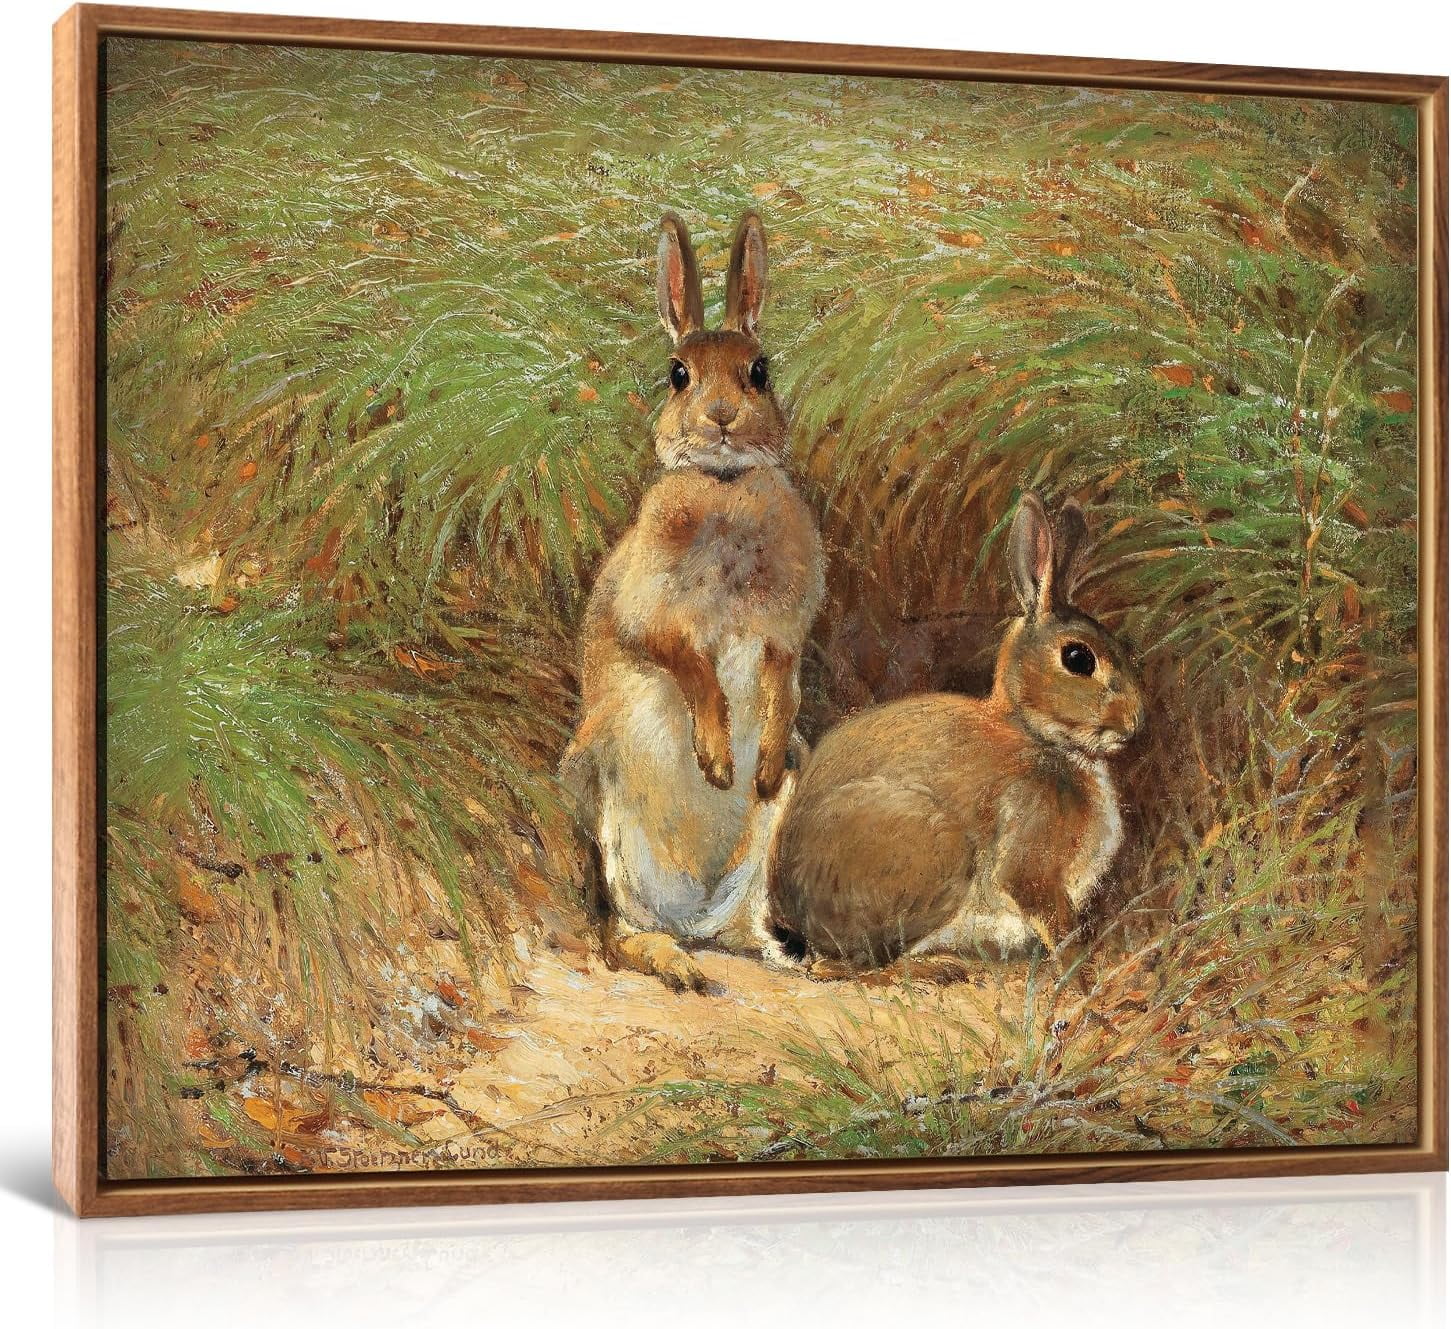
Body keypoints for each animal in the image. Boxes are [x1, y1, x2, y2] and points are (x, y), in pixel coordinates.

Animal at [561, 210, 824, 993]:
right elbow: (690, 666)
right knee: (619, 931)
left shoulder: (783, 637)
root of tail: (697, 912)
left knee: (746, 926)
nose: (722, 417)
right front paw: (716, 760)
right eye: (678, 374)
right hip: (608, 811)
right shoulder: (651, 616)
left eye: (760, 370)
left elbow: (782, 684)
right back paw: (675, 964)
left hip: (767, 839)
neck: (725, 486)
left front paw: (754, 767)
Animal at [767, 492, 1143, 981]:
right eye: (1078, 658)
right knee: (857, 965)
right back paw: (938, 966)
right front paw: (1079, 966)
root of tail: (790, 917)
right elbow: (1052, 918)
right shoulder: (1030, 857)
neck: (1036, 734)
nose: (1135, 722)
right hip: (938, 853)